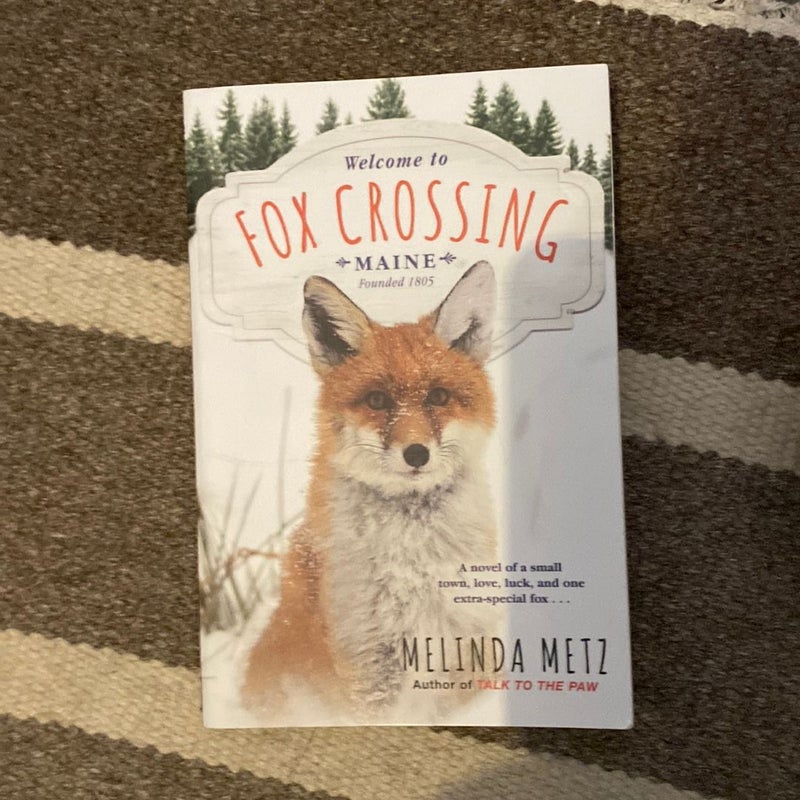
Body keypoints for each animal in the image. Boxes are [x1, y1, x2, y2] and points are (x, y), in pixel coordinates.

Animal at [242, 261, 500, 722]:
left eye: (438, 396)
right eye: (378, 400)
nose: (416, 454)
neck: (415, 569)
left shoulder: (468, 646)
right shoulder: (367, 662)